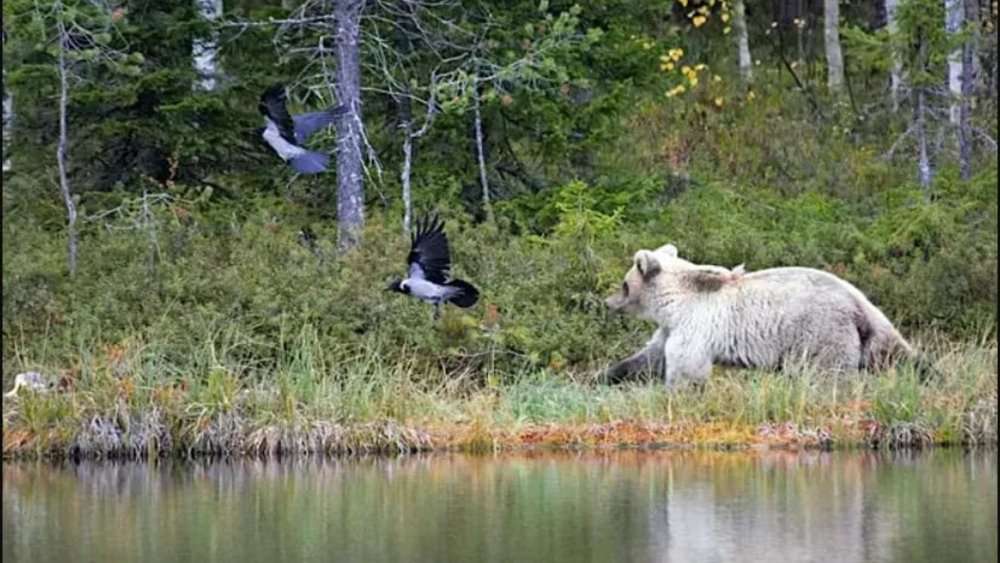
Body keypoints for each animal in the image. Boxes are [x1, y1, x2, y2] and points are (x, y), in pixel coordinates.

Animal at [602, 243, 916, 386]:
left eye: (624, 284)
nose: (607, 302)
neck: (675, 303)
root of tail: (858, 302)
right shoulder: (672, 328)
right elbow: (649, 357)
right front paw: (606, 374)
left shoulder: (695, 325)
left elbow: (685, 367)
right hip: (871, 335)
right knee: (892, 354)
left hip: (820, 333)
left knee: (825, 374)